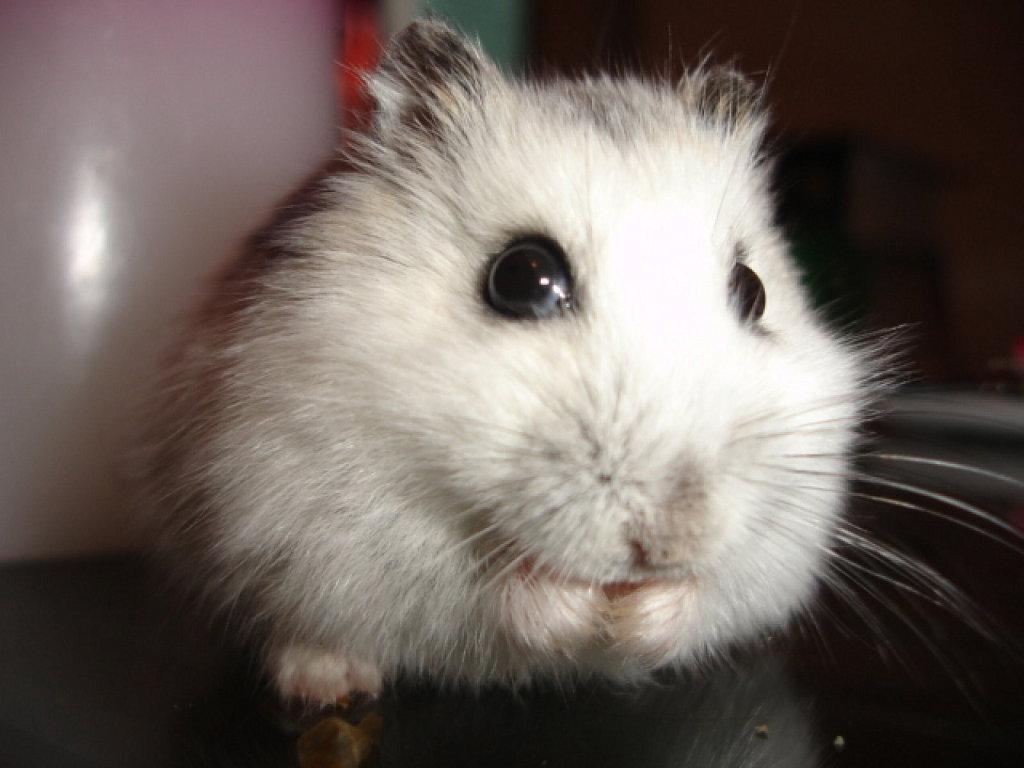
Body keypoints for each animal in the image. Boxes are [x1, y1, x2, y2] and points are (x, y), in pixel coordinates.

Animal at [135, 20, 873, 705]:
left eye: (753, 291)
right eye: (522, 277)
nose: (669, 542)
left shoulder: (786, 532)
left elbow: (706, 596)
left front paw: (640, 613)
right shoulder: (346, 519)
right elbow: (494, 591)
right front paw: (578, 605)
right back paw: (329, 685)